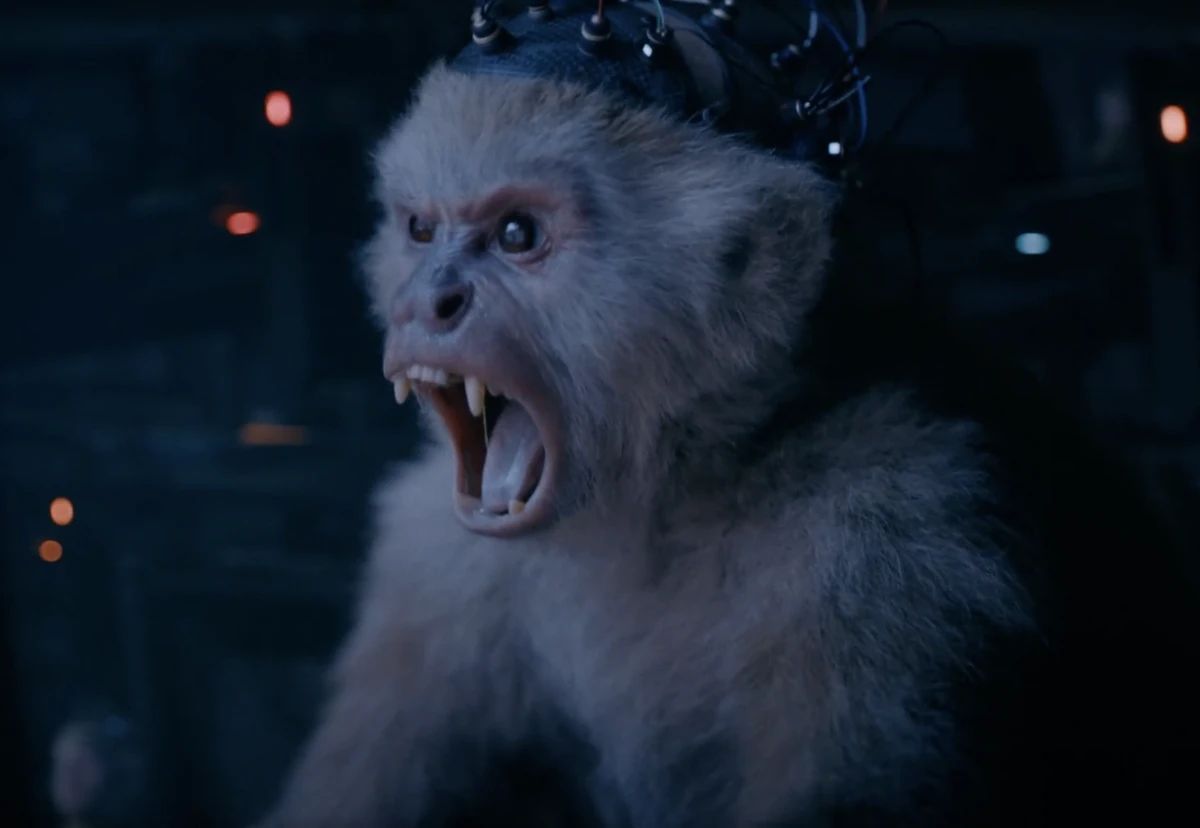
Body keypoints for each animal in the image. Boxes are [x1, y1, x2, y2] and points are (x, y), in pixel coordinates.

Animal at [256, 59, 1199, 828]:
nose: (427, 299)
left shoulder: (904, 535)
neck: (664, 498)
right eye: (419, 230)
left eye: (518, 235)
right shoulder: (431, 560)